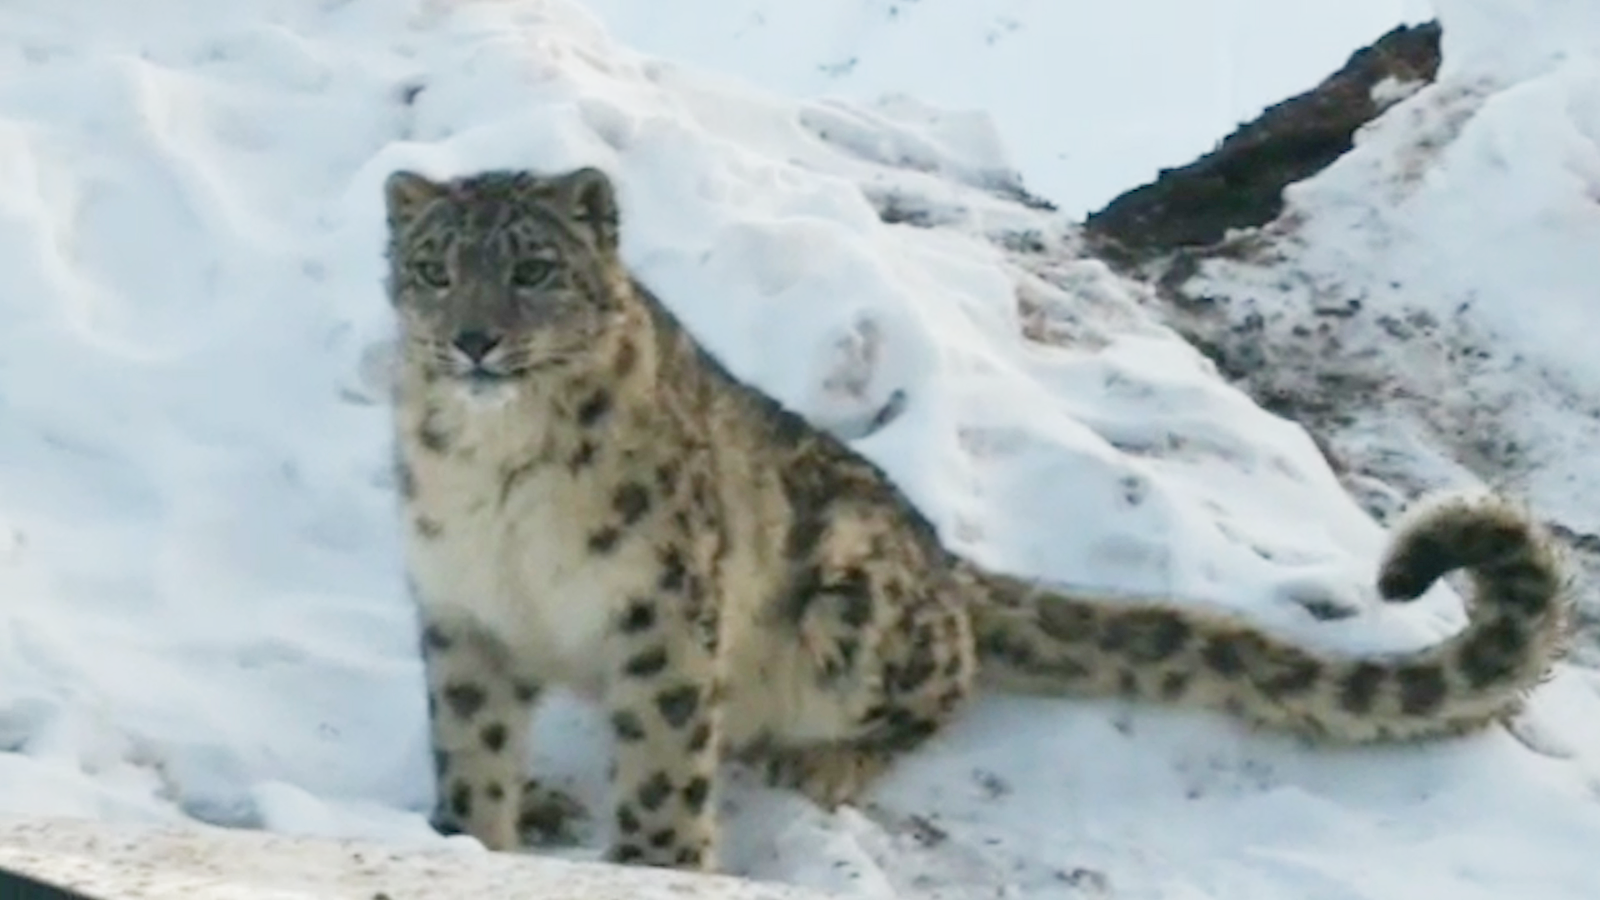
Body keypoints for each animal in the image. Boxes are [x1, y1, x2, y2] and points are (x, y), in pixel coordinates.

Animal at [383, 165, 1570, 873]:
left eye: (535, 268)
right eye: (434, 267)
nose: (474, 339)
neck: (500, 478)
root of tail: (947, 563)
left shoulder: (661, 610)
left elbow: (665, 761)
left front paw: (655, 868)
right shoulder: (462, 605)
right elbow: (472, 739)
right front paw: (472, 836)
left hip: (849, 602)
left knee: (943, 682)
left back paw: (828, 759)